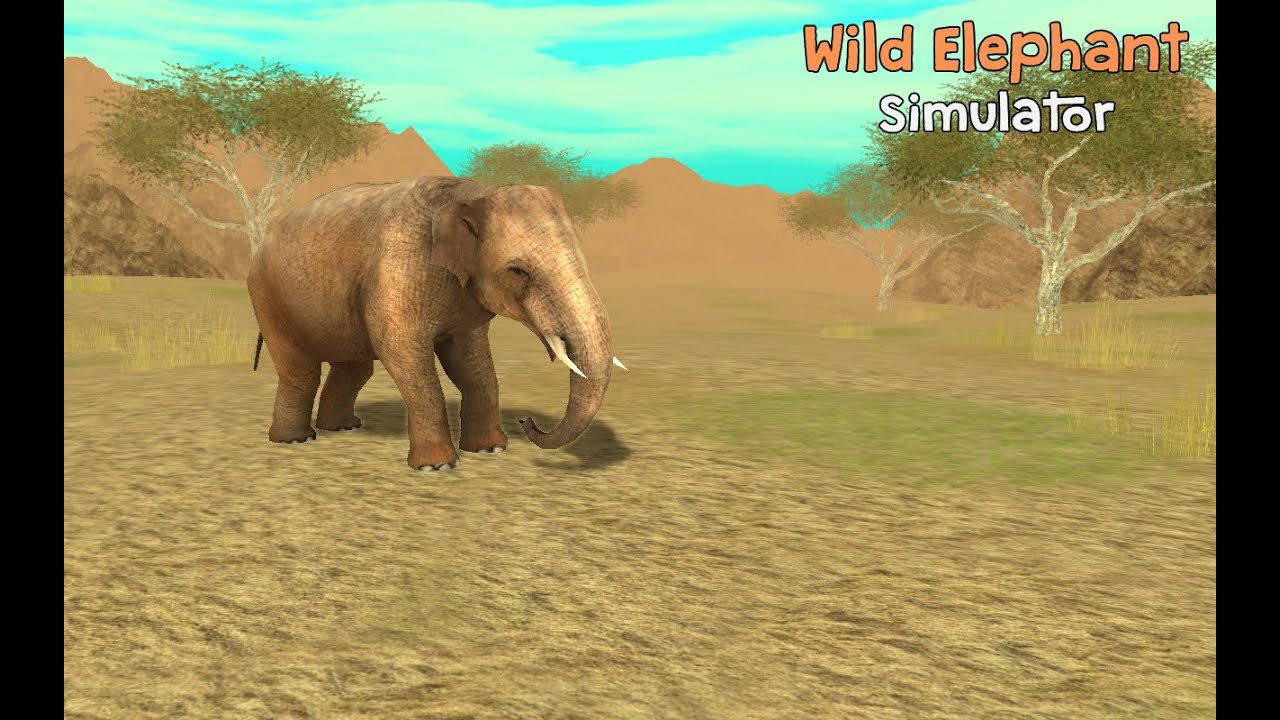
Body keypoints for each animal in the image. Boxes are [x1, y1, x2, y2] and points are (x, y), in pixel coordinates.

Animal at [247, 175, 626, 471]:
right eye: (518, 271)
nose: (526, 422)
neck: (471, 195)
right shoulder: (398, 272)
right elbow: (404, 354)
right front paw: (437, 466)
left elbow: (473, 364)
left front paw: (490, 449)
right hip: (268, 297)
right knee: (301, 371)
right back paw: (295, 440)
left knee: (354, 368)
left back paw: (341, 429)